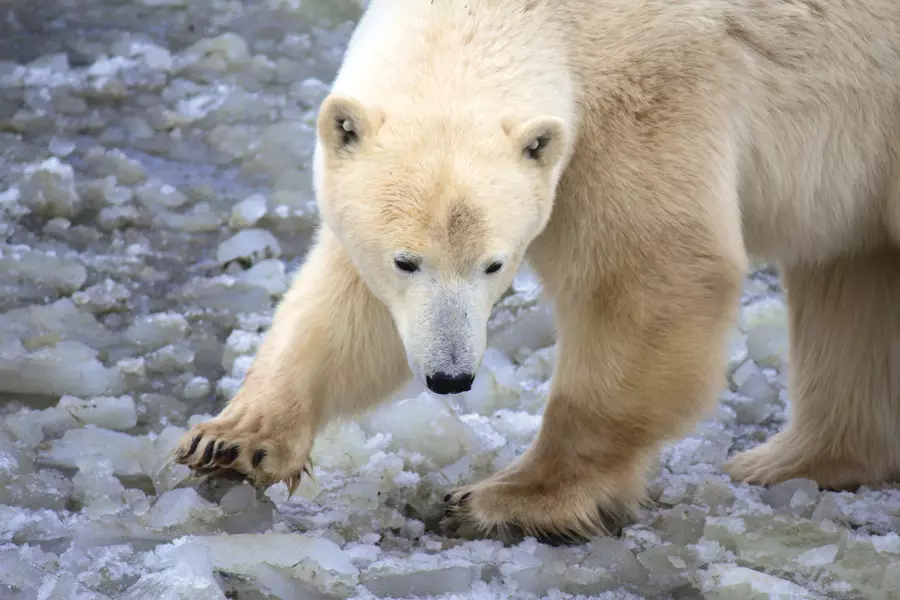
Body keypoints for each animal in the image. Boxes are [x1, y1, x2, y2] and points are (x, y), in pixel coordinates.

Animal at [176, 0, 900, 544]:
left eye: (495, 263)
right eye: (405, 260)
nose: (450, 376)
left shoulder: (647, 106)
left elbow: (648, 276)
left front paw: (502, 499)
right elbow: (348, 307)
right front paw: (233, 443)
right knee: (848, 279)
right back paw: (794, 459)